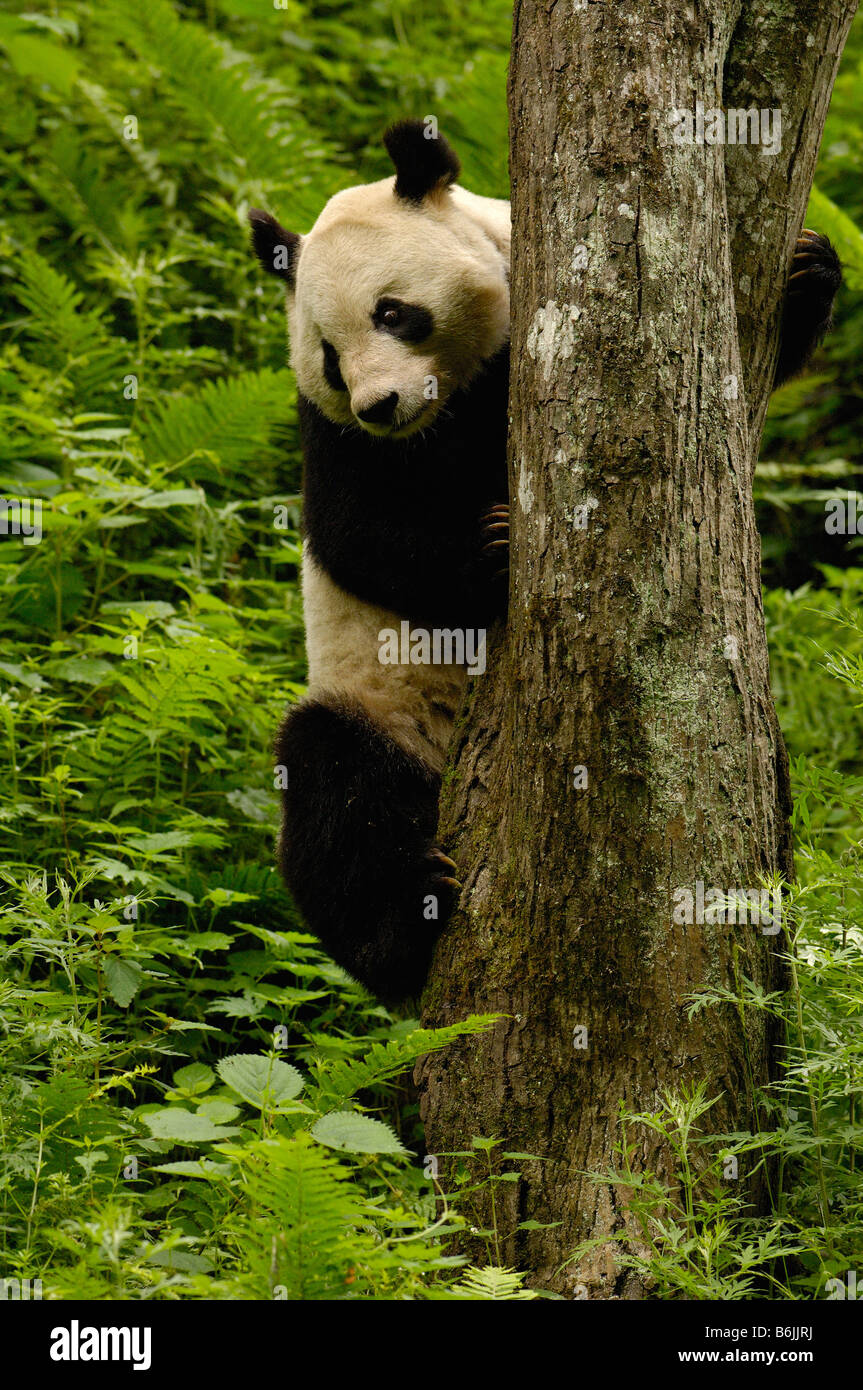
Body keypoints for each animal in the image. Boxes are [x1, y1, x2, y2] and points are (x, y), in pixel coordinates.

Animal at [249, 119, 841, 1004]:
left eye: (393, 313)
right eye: (328, 355)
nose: (380, 405)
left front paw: (807, 269)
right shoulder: (333, 433)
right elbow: (356, 533)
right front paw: (491, 557)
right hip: (380, 702)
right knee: (334, 788)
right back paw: (405, 928)